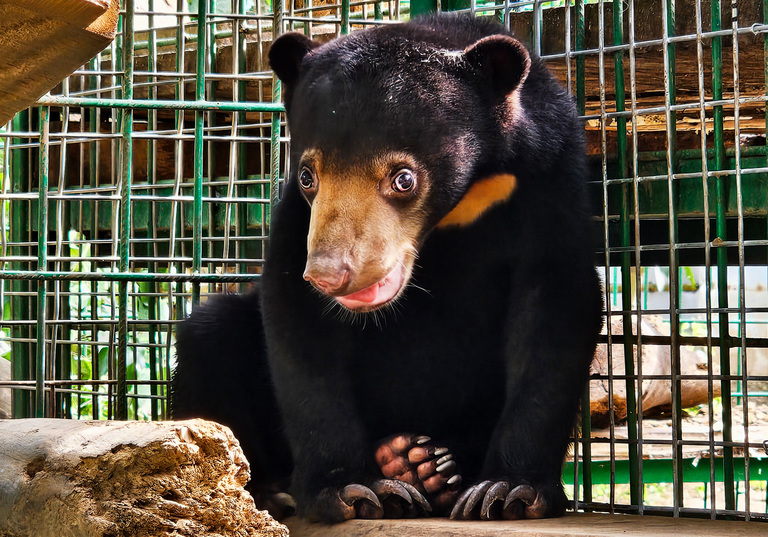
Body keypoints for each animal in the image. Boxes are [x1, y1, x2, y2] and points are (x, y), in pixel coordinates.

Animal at [173, 12, 603, 523]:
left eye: (403, 179)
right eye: (308, 176)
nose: (329, 274)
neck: (466, 199)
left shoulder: (549, 180)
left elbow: (553, 317)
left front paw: (508, 491)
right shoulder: (298, 219)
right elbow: (298, 326)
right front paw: (349, 490)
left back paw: (427, 465)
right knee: (211, 334)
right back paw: (280, 488)